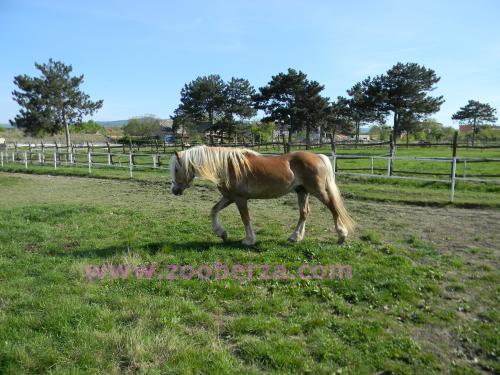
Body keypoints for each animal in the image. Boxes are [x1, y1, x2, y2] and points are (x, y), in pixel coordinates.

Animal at [170, 146, 354, 247]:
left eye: (177, 169)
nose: (174, 190)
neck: (227, 166)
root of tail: (318, 156)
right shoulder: (229, 197)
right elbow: (214, 210)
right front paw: (222, 233)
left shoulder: (240, 199)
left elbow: (245, 218)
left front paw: (249, 240)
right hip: (302, 191)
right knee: (304, 213)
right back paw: (295, 237)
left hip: (318, 191)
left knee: (333, 207)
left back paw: (341, 235)